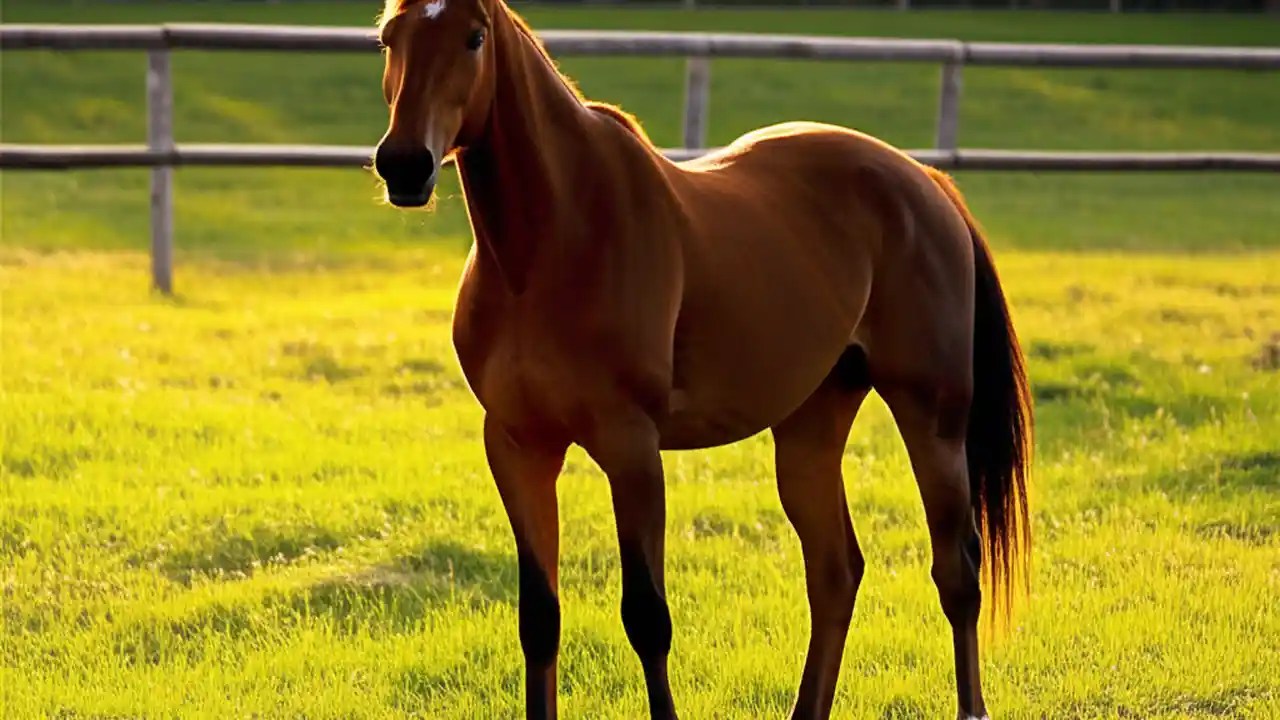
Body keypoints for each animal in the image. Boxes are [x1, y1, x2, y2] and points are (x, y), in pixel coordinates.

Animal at [371, 1, 1032, 718]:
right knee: (835, 572)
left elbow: (646, 618)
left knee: (956, 570)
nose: (403, 165)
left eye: (473, 38)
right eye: (389, 38)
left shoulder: (631, 448)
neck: (554, 242)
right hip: (811, 424)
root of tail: (927, 182)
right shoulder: (519, 447)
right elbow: (539, 619)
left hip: (932, 418)